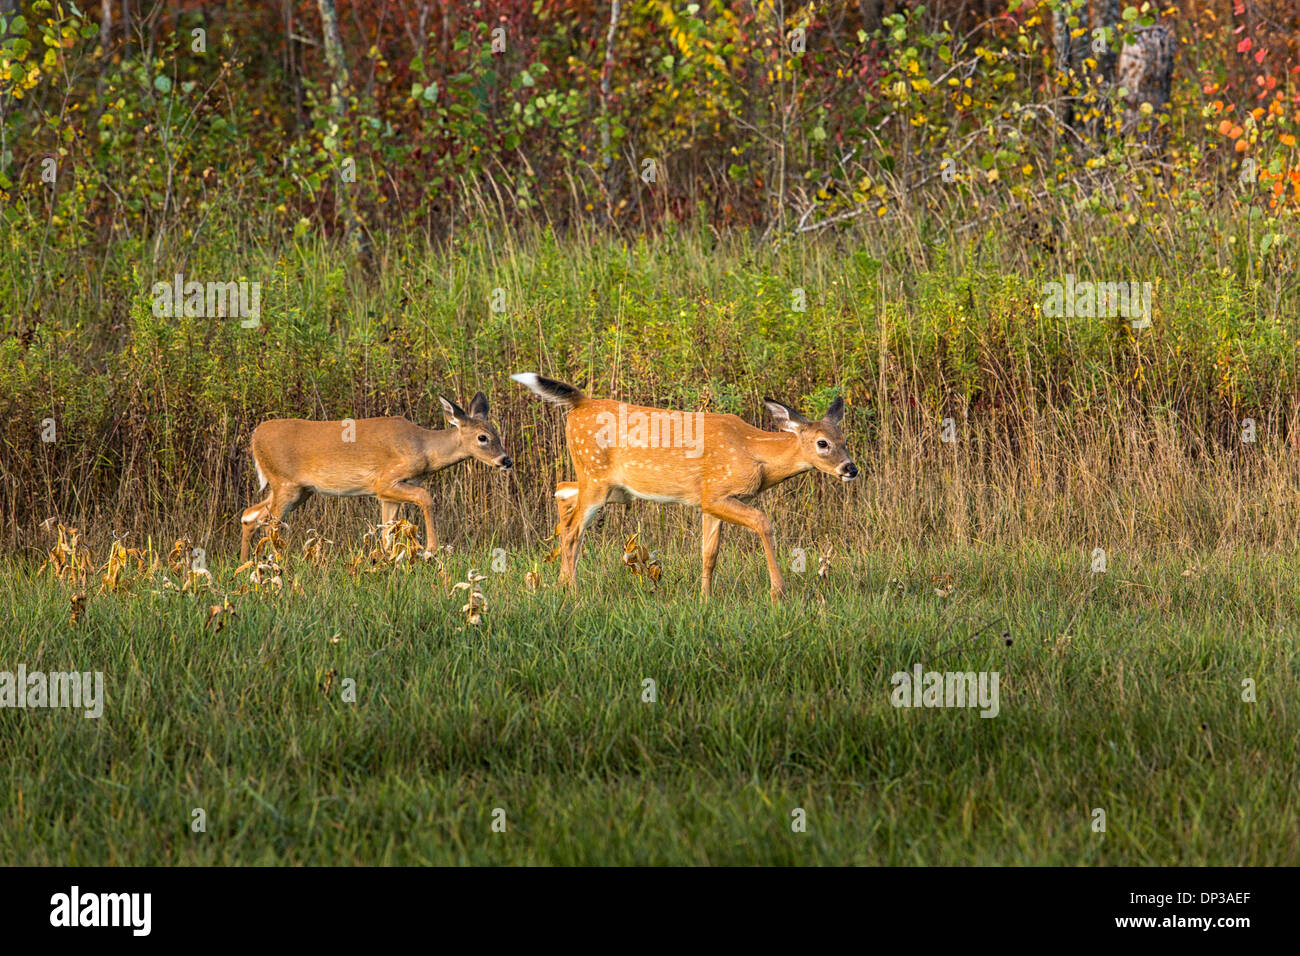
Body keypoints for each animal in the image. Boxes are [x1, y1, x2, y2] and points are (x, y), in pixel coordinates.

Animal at [239, 393, 512, 561]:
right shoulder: (385, 480)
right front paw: (430, 550)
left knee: (250, 515)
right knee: (269, 525)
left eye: (497, 433)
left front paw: (387, 561)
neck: (424, 449)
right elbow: (426, 497)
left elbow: (387, 530)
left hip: (299, 491)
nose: (506, 461)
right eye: (482, 437)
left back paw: (247, 566)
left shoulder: (389, 494)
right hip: (285, 483)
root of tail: (255, 437)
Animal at [513, 373, 856, 602]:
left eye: (844, 439)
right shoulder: (716, 491)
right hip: (596, 476)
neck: (753, 452)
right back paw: (572, 591)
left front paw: (705, 599)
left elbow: (709, 552)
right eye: (822, 443)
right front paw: (778, 592)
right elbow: (762, 521)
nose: (850, 468)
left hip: (609, 486)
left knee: (562, 491)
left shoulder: (710, 500)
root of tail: (580, 403)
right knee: (573, 527)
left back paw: (561, 583)